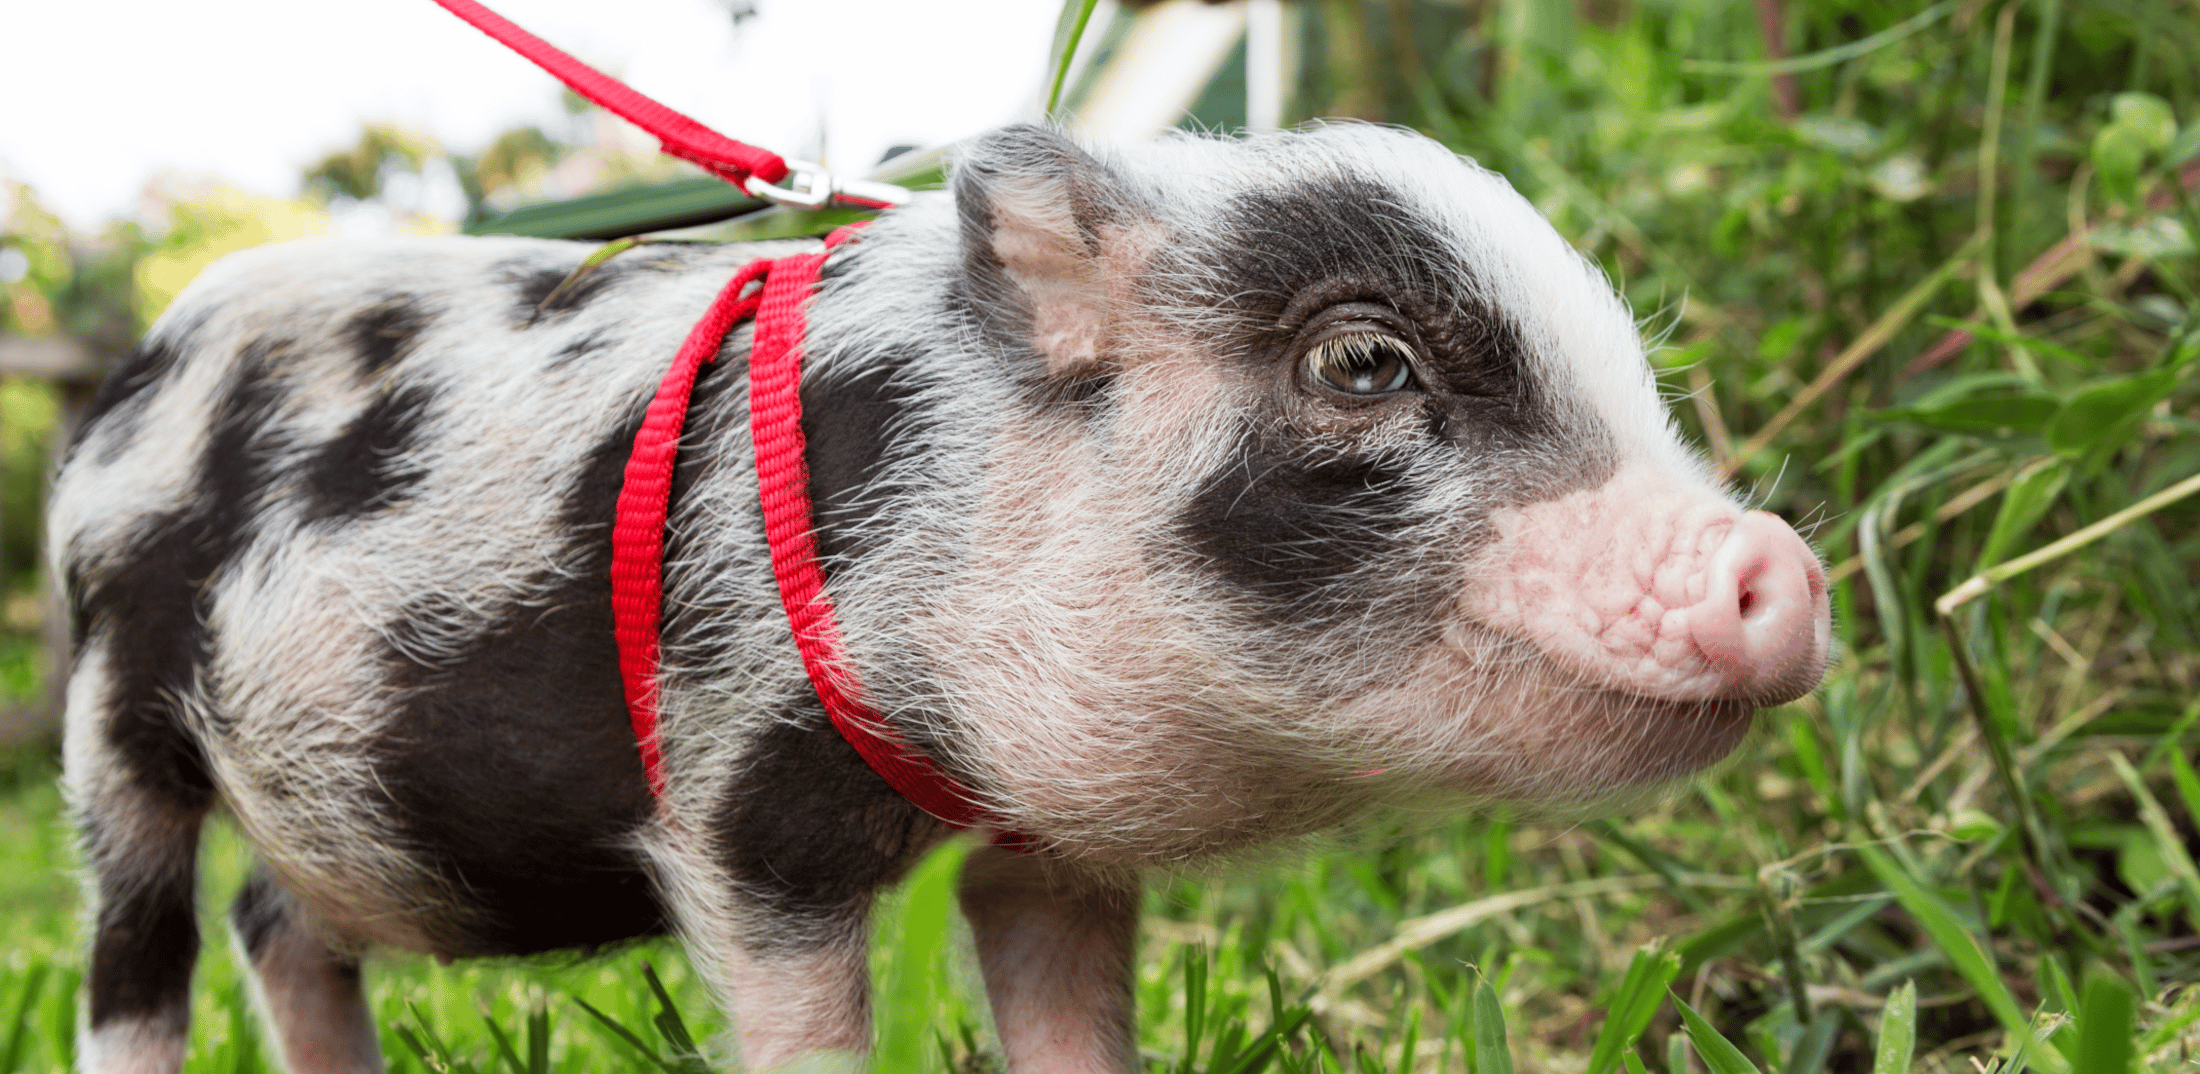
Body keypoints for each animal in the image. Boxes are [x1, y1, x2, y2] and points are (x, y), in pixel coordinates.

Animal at [49, 122, 1830, 1074]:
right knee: (146, 944)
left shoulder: (1049, 854)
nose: (1787, 565)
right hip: (109, 719)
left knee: (277, 921)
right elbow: (804, 1018)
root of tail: (135, 374)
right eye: (1362, 363)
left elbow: (1070, 1020)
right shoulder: (739, 799)